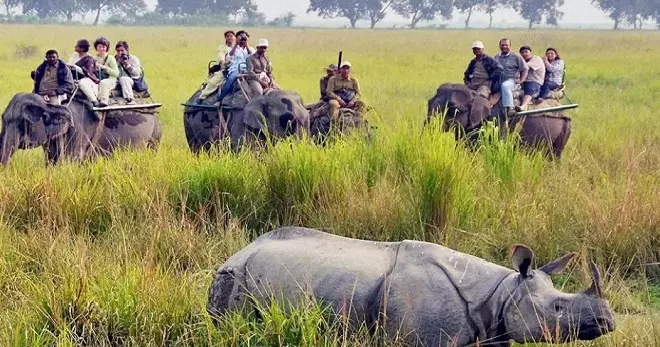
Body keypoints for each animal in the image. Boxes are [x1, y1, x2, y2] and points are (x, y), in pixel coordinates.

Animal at [0, 93, 162, 167]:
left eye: (24, 122)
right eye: (3, 119)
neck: (50, 103)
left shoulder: (77, 129)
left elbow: (72, 160)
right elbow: (51, 160)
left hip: (155, 135)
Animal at [428, 84, 572, 160]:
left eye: (453, 108)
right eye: (428, 102)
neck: (476, 95)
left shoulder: (498, 122)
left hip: (565, 131)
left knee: (554, 156)